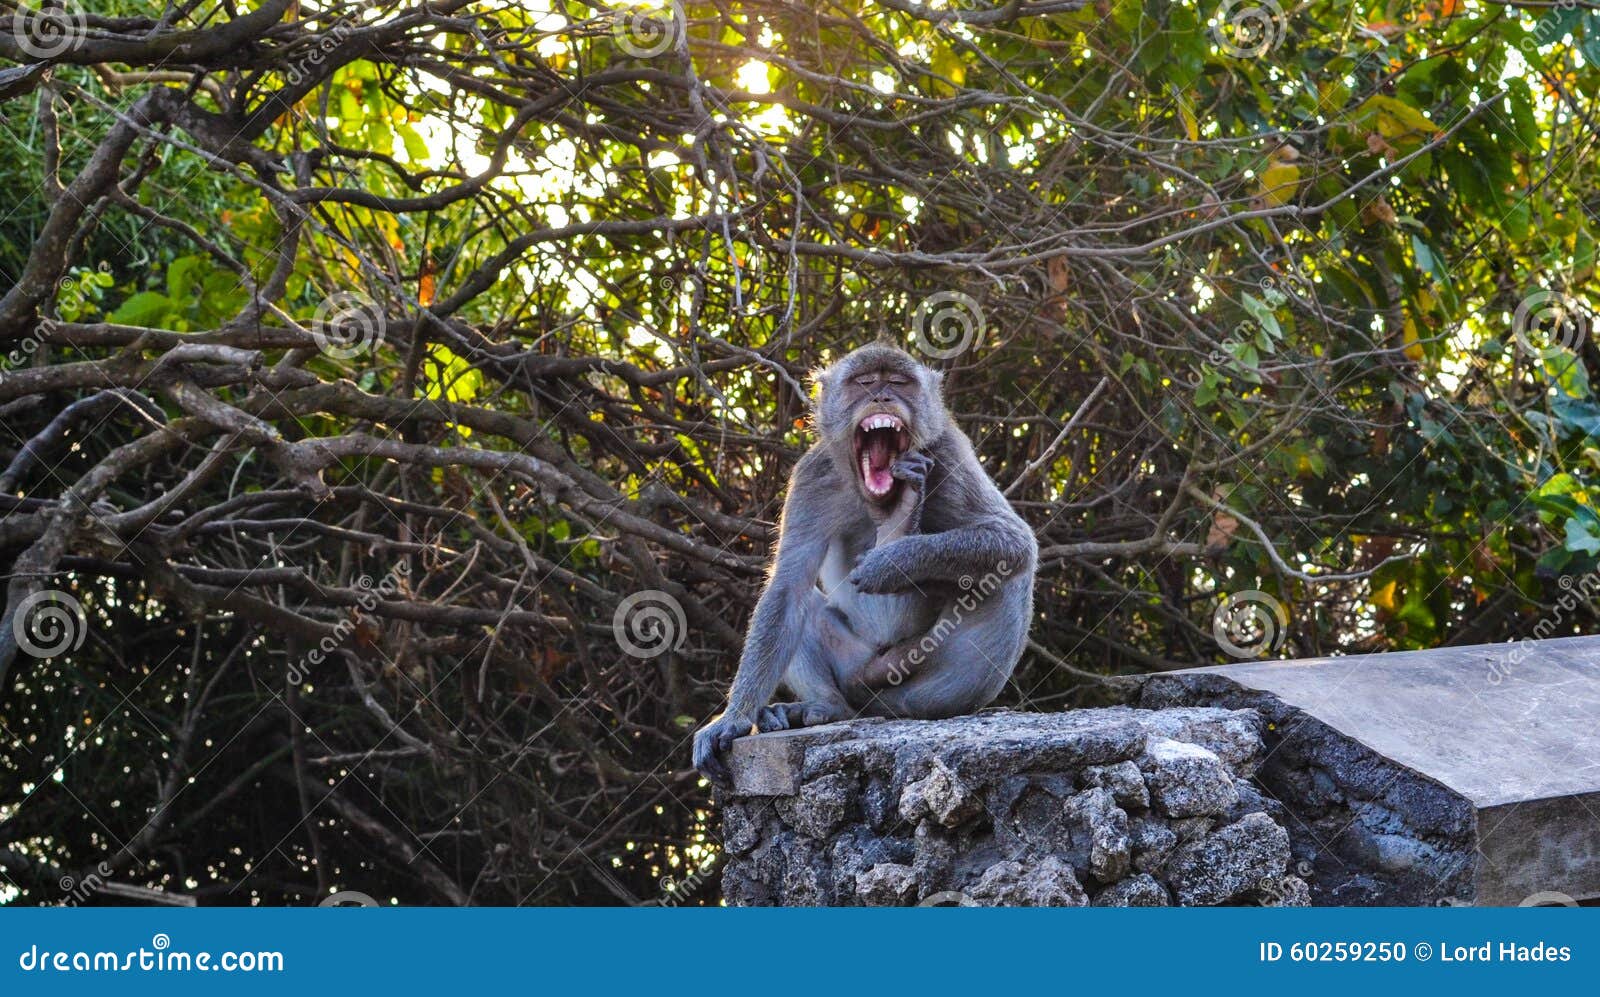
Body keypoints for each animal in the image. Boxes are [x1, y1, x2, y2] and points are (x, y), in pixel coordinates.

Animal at [693, 343, 1038, 784]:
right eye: (865, 383)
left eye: (899, 383)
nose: (882, 397)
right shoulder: (812, 476)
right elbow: (787, 588)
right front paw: (732, 719)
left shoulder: (949, 452)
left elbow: (1012, 540)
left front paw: (891, 561)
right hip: (853, 662)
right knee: (800, 605)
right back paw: (828, 707)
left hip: (934, 682)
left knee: (1005, 576)